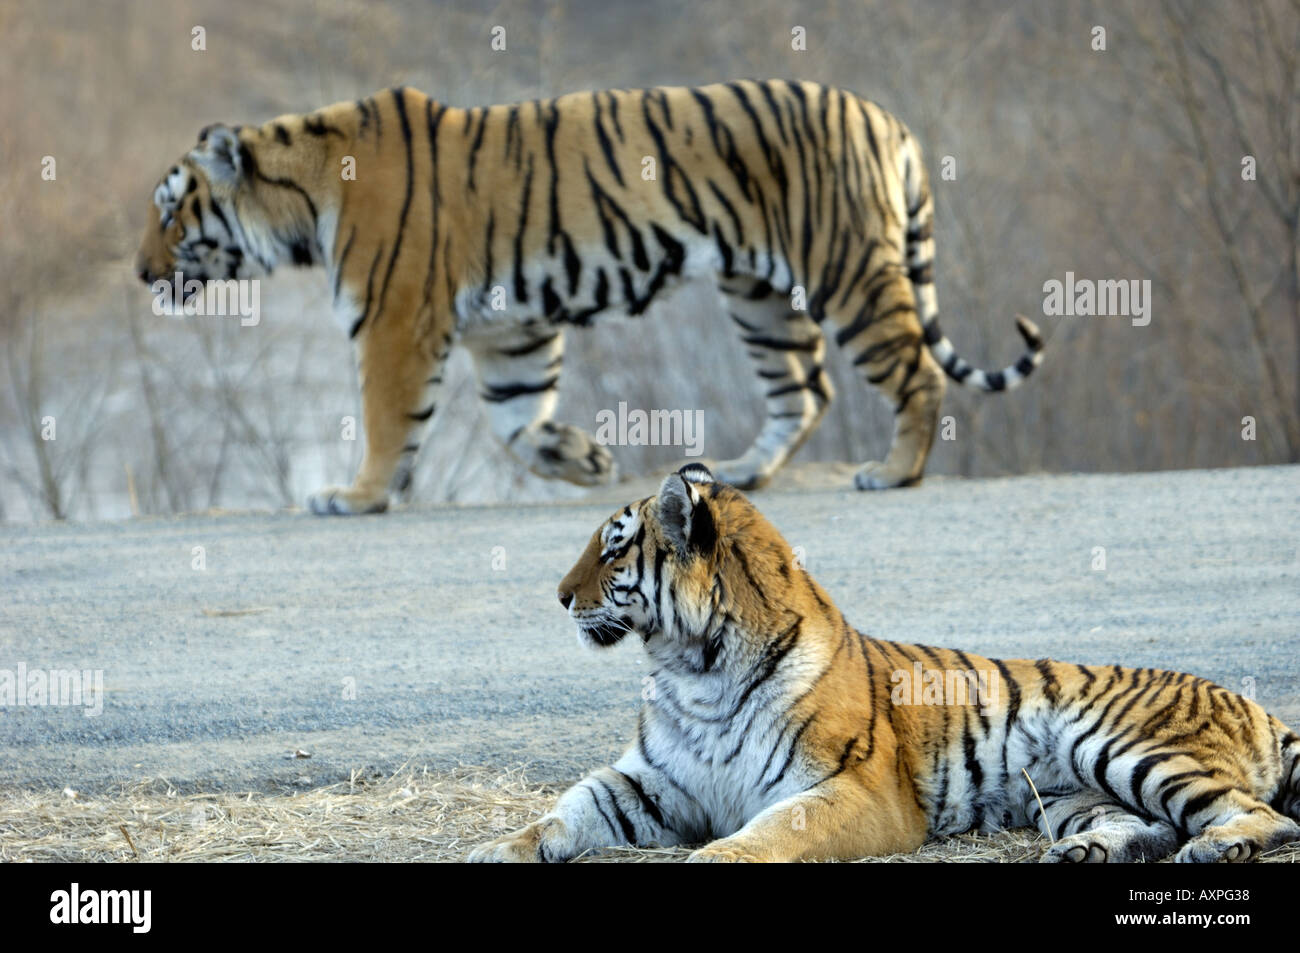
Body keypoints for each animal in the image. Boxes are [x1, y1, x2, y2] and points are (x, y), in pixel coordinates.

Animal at [134, 81, 1044, 515]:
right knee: (805, 389)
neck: (300, 197)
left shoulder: (393, 319)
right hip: (758, 293)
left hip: (844, 268)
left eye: (169, 210)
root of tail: (888, 119)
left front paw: (354, 496)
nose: (140, 273)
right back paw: (742, 471)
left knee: (917, 372)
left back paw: (893, 473)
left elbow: (389, 418)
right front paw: (582, 459)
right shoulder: (508, 326)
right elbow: (515, 418)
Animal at [468, 463, 1300, 863]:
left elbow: (774, 830)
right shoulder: (649, 781)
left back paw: (1215, 848)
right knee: (1145, 826)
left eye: (613, 549)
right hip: (1066, 792)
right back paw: (1083, 851)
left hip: (1124, 744)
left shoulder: (853, 788)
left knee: (1260, 814)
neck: (692, 670)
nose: (558, 595)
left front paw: (715, 857)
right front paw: (493, 848)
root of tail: (1252, 702)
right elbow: (564, 811)